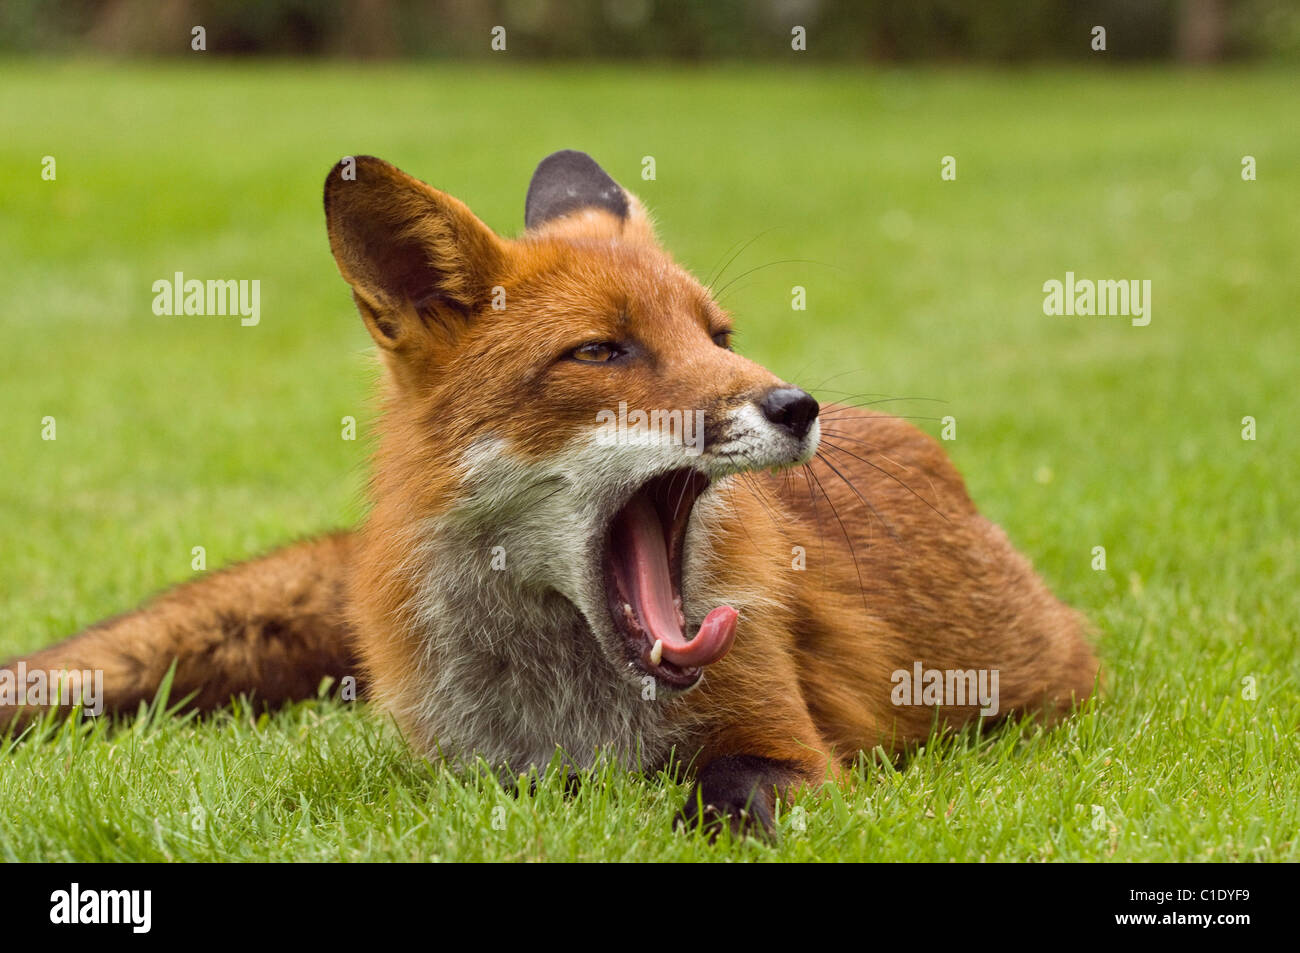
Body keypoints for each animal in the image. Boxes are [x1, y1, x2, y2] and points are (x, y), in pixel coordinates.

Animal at [1, 150, 1098, 835]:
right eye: (602, 351)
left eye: (718, 336)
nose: (797, 405)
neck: (571, 703)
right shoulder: (466, 774)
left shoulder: (795, 751)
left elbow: (725, 799)